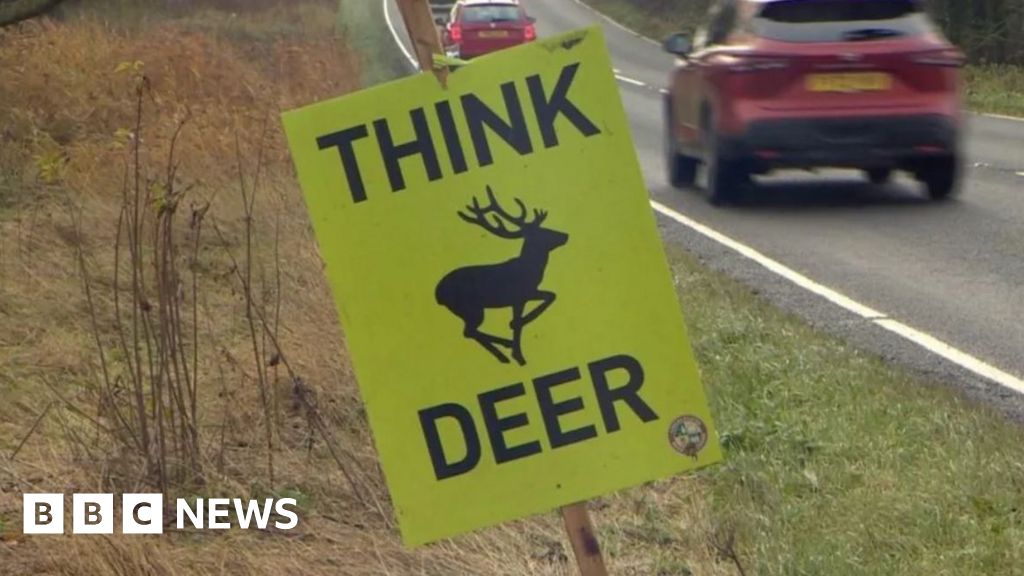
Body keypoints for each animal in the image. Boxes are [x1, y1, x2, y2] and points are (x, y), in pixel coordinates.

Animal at [436, 186, 569, 366]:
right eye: (543, 231)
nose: (565, 235)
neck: (530, 269)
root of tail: (438, 294)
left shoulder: (525, 295)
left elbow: (550, 296)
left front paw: (516, 345)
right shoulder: (519, 296)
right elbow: (526, 317)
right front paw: (518, 353)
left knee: (470, 331)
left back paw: (504, 350)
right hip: (469, 307)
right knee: (469, 331)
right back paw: (504, 349)